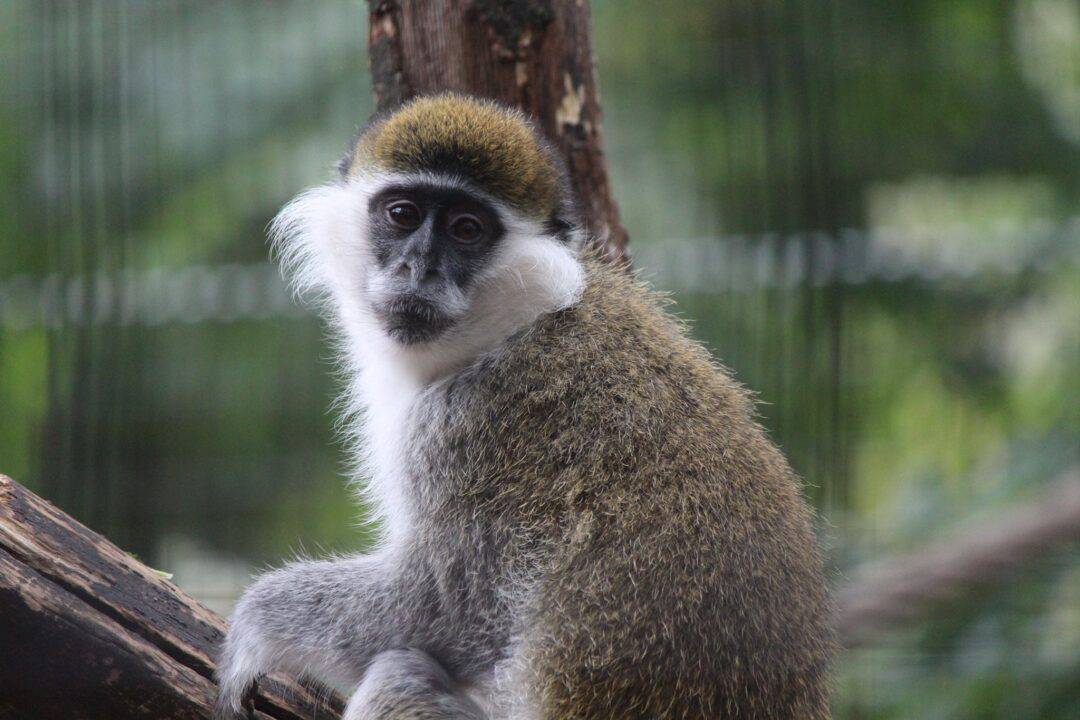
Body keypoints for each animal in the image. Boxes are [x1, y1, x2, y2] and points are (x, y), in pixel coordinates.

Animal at [215, 93, 833, 719]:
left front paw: (255, 624)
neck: (519, 321)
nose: (419, 269)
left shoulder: (466, 430)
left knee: (398, 675)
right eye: (403, 215)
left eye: (466, 230)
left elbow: (443, 613)